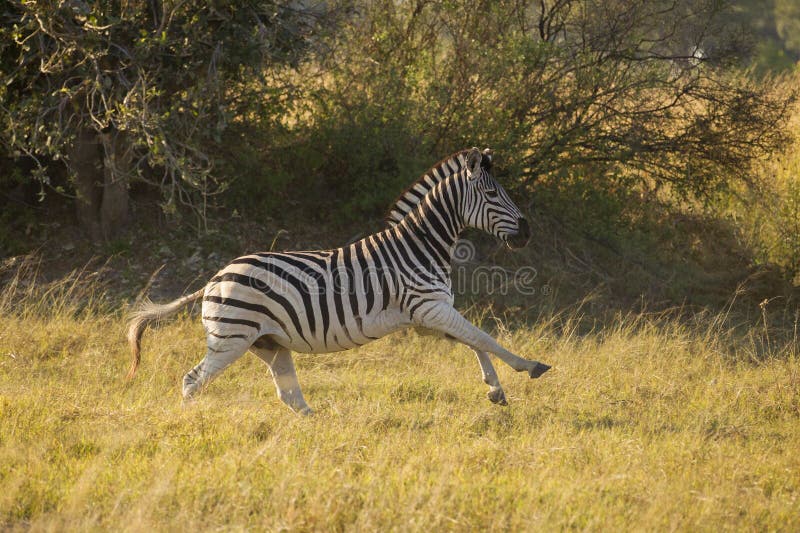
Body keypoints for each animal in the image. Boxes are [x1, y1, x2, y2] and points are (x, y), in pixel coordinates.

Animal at [127, 147, 550, 414]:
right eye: (492, 193)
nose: (528, 233)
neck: (420, 246)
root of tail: (214, 279)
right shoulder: (429, 307)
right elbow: (484, 337)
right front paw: (529, 366)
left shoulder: (426, 315)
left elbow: (473, 341)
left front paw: (496, 390)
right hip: (230, 339)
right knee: (192, 381)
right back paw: (190, 424)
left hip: (268, 343)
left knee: (288, 395)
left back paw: (319, 431)